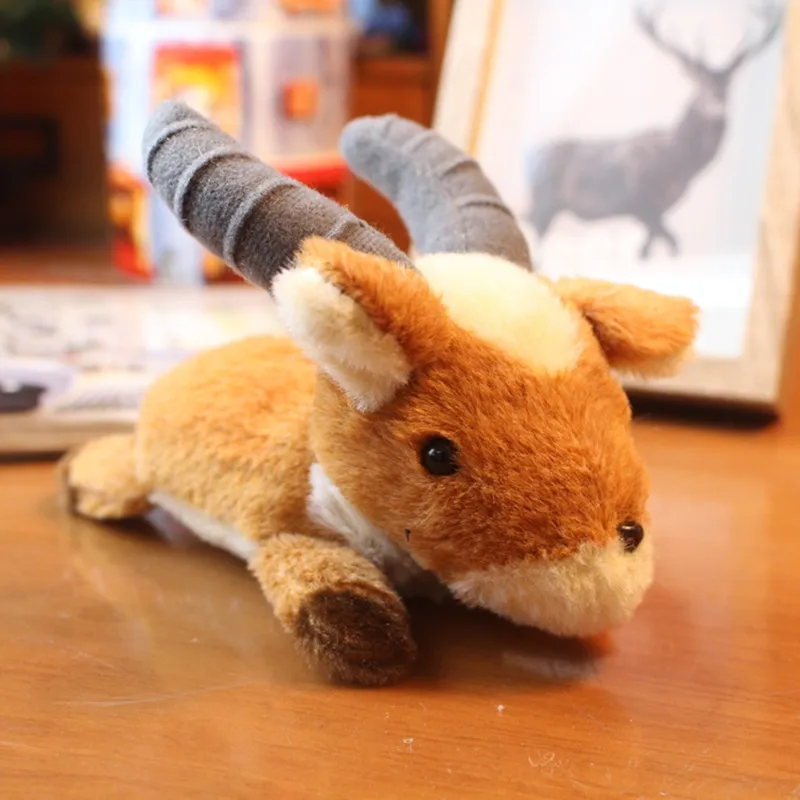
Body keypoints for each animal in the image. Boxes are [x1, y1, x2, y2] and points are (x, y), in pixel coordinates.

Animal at [525, 1, 783, 259]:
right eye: (698, 82)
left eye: (729, 83)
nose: (719, 102)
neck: (680, 164)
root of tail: (526, 158)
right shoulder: (640, 203)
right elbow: (670, 245)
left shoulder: (660, 208)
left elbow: (650, 250)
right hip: (545, 199)